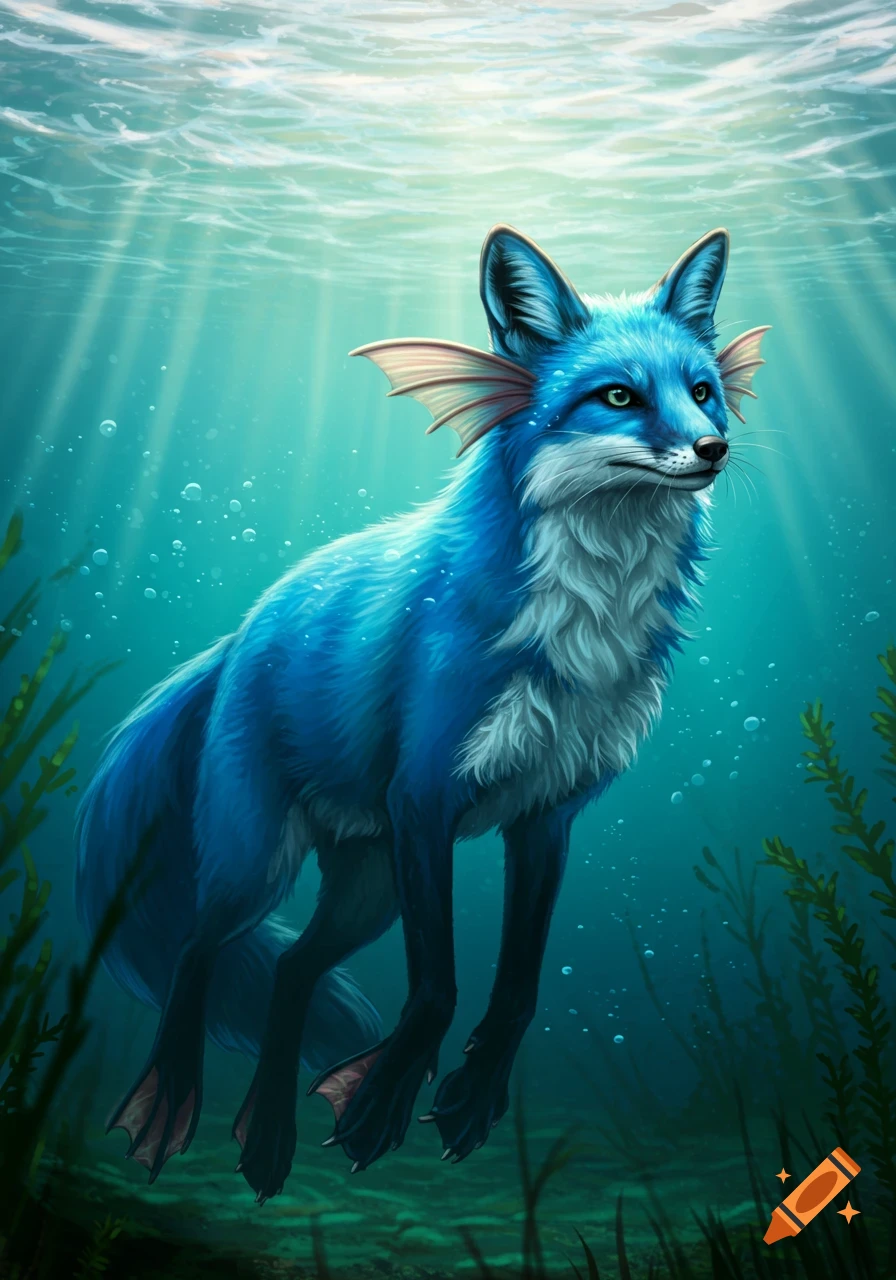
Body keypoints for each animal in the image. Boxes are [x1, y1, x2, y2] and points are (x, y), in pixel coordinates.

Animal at [76, 224, 769, 1202]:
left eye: (702, 390)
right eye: (619, 397)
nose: (713, 447)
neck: (585, 624)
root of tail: (241, 633)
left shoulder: (546, 816)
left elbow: (517, 987)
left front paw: (467, 1098)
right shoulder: (425, 802)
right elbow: (438, 986)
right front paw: (382, 1106)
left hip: (365, 891)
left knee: (288, 969)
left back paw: (268, 1139)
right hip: (262, 862)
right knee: (196, 952)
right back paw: (173, 1100)